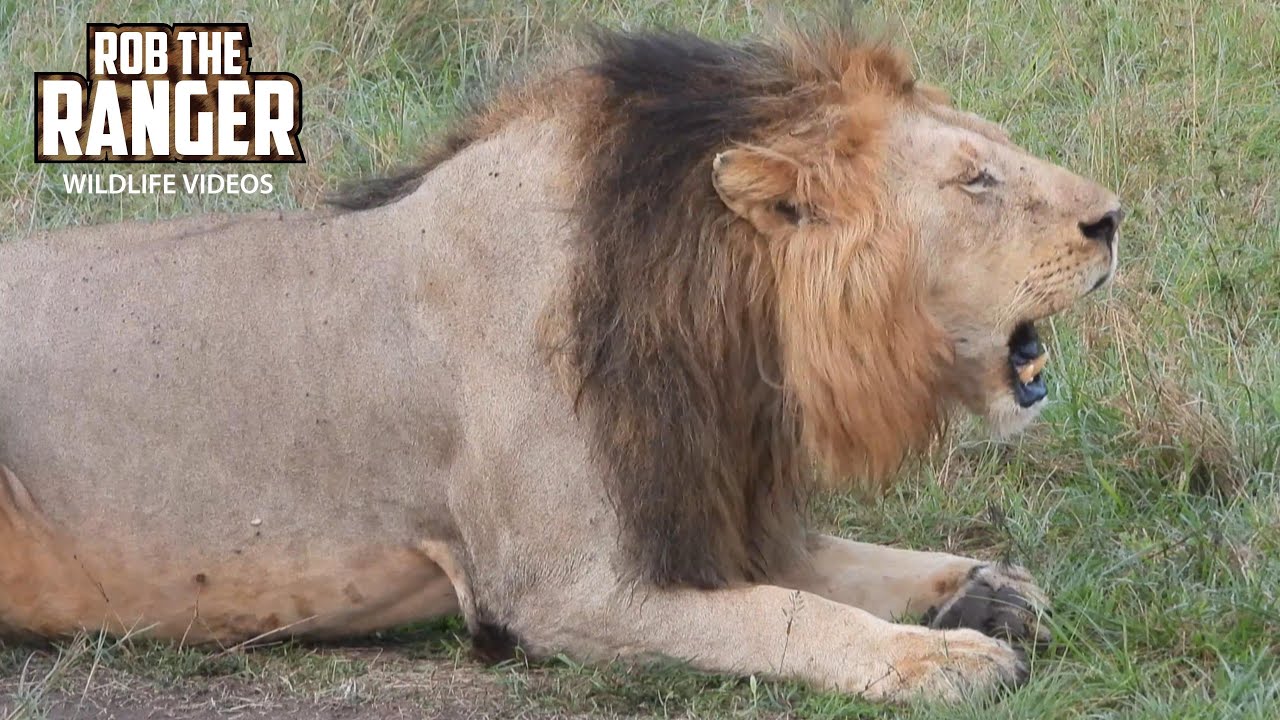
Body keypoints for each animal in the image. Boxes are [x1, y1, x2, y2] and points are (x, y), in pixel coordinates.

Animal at [0, 15, 1121, 703]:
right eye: (975, 181)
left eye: (993, 151)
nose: (1112, 219)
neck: (734, 333)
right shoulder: (564, 592)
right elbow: (795, 616)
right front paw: (943, 659)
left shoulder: (704, 504)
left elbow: (844, 566)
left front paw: (982, 588)